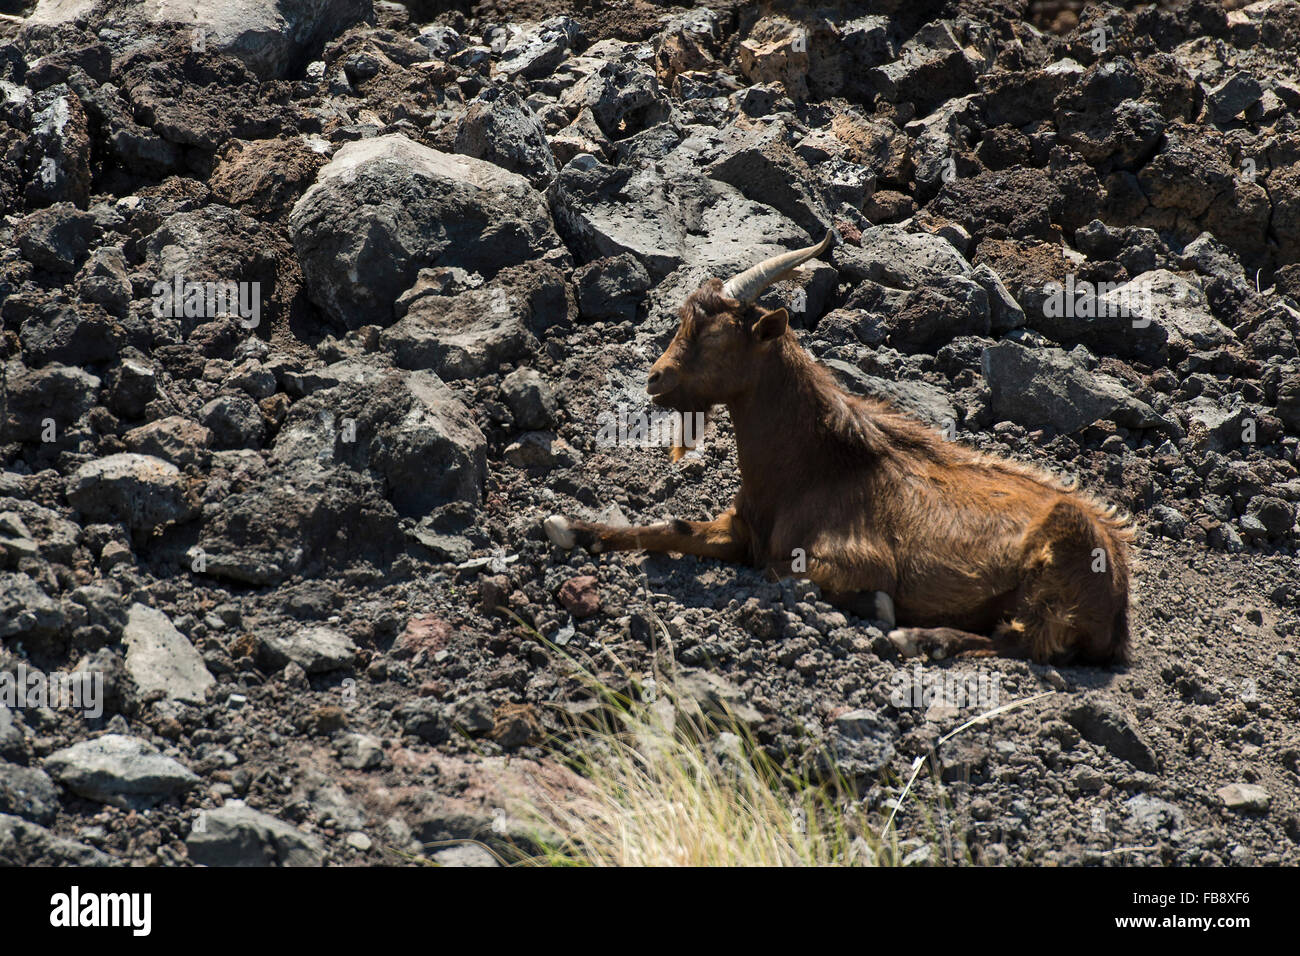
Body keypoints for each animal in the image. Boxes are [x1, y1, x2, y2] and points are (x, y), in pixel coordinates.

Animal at [544, 234, 1133, 664]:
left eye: (715, 337)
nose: (655, 379)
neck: (813, 464)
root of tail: (1118, 597)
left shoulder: (850, 558)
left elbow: (787, 573)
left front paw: (882, 610)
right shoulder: (741, 529)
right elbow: (673, 527)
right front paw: (569, 526)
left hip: (1056, 562)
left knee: (1023, 640)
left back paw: (918, 639)